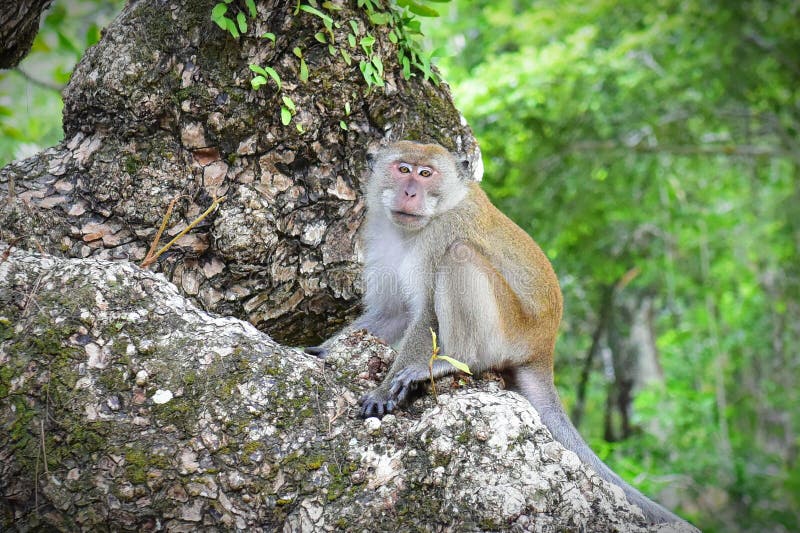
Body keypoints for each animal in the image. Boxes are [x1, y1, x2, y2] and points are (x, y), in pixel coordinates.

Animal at [306, 140, 688, 526]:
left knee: (460, 255)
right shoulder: (379, 232)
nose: (410, 192)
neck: (420, 223)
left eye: (426, 173)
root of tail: (543, 349)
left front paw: (384, 389)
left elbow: (427, 313)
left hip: (509, 331)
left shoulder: (444, 231)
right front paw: (322, 350)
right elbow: (392, 311)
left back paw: (453, 362)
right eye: (403, 169)